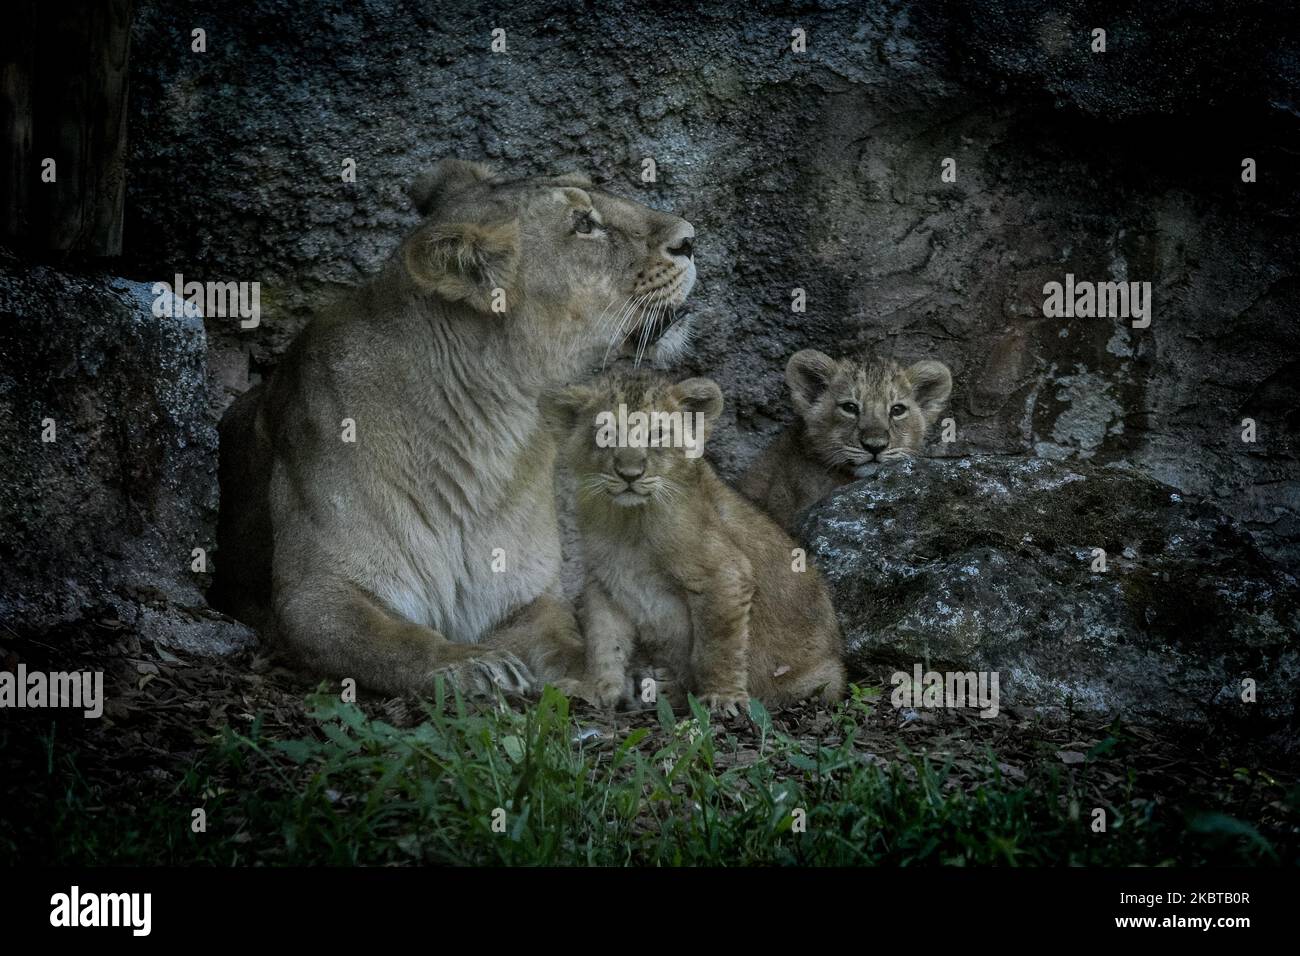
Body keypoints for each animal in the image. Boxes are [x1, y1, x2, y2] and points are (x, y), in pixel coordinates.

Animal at [210, 160, 698, 697]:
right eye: (583, 224)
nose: (690, 238)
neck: (491, 428)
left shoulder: (524, 597)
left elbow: (569, 639)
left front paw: (615, 673)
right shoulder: (316, 597)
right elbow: (401, 641)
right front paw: (471, 665)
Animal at [542, 372, 845, 713]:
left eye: (657, 435)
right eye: (606, 434)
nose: (630, 474)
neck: (627, 521)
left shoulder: (724, 573)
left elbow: (715, 645)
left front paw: (722, 698)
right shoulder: (605, 583)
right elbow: (604, 642)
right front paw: (593, 690)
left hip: (816, 679)